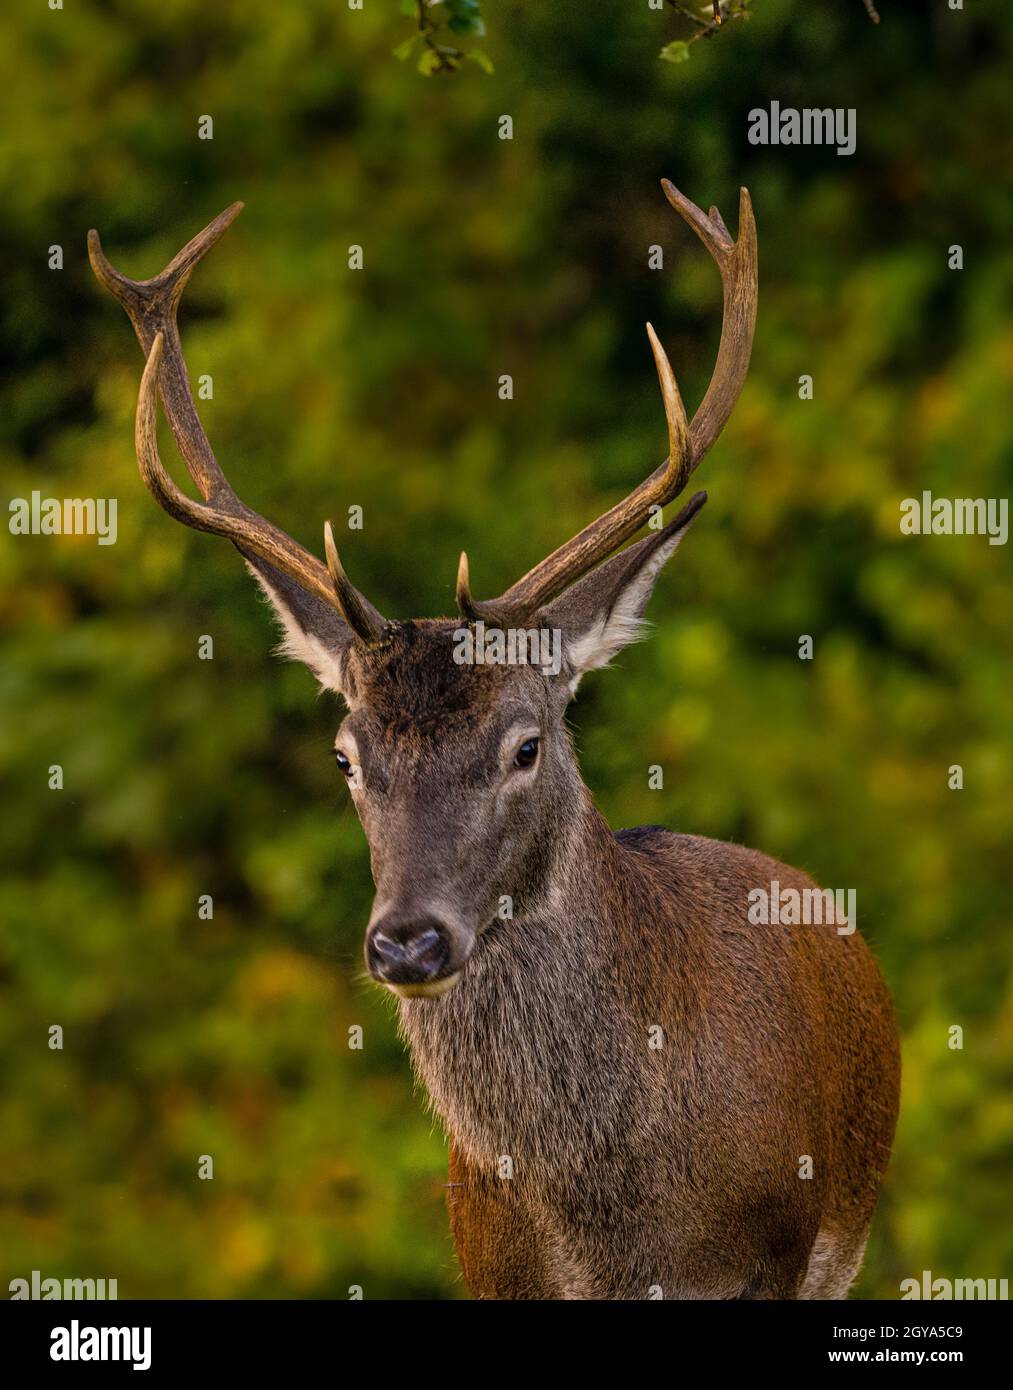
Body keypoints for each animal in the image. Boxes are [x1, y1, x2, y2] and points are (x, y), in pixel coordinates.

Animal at [89, 183, 900, 1300]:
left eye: (524, 746)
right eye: (344, 756)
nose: (407, 941)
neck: (615, 1238)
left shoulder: (768, 1261)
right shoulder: (489, 1264)